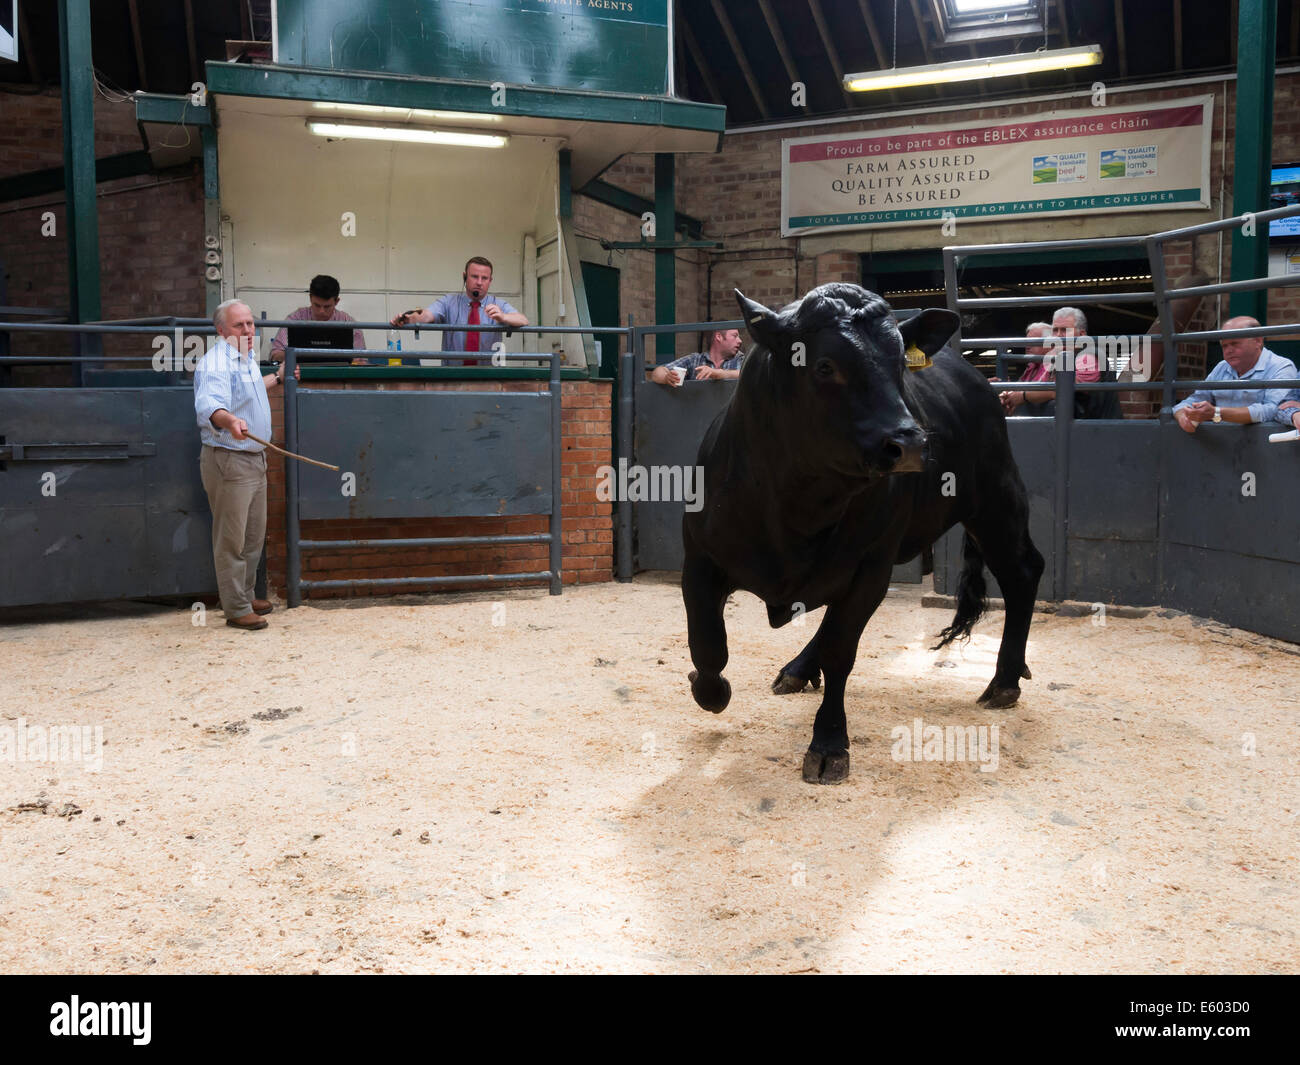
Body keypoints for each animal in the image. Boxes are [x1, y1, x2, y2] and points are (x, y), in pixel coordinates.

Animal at [682, 283, 1044, 784]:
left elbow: (841, 651)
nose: (910, 443)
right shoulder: (699, 555)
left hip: (996, 499)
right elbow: (707, 644)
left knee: (1023, 572)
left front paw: (829, 744)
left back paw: (1004, 680)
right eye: (824, 366)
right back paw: (797, 669)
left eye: (899, 366)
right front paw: (710, 690)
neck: (795, 505)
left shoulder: (870, 566)